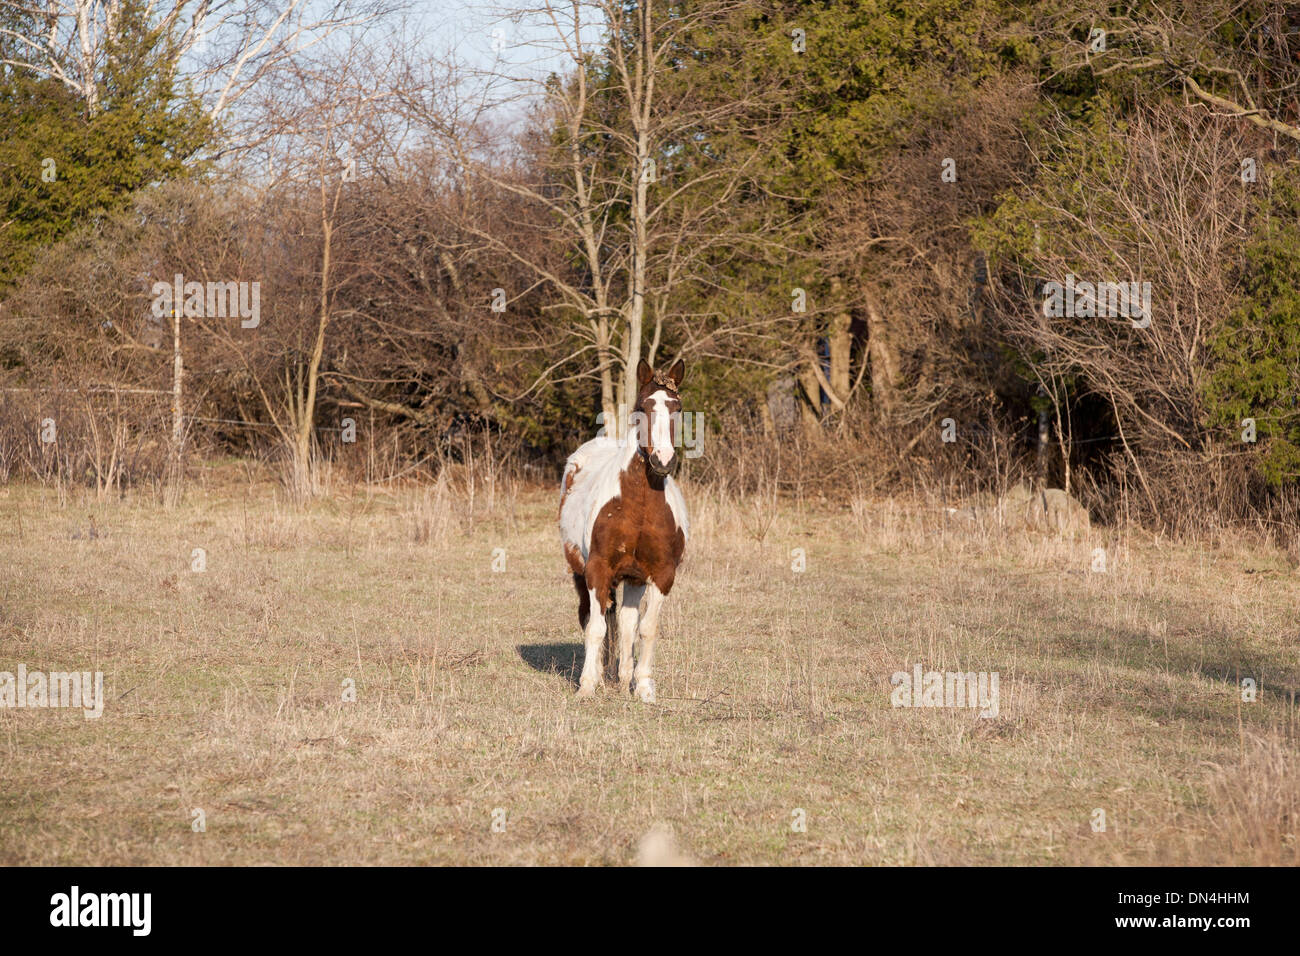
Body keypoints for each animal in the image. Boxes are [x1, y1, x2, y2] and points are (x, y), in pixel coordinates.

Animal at [558, 359, 689, 701]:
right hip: (581, 572)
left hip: (633, 579)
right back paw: (601, 677)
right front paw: (587, 686)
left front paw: (642, 687)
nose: (662, 461)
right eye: (643, 406)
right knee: (591, 616)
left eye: (677, 407)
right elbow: (596, 627)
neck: (637, 507)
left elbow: (646, 629)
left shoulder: (661, 575)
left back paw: (622, 677)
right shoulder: (597, 569)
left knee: (627, 624)